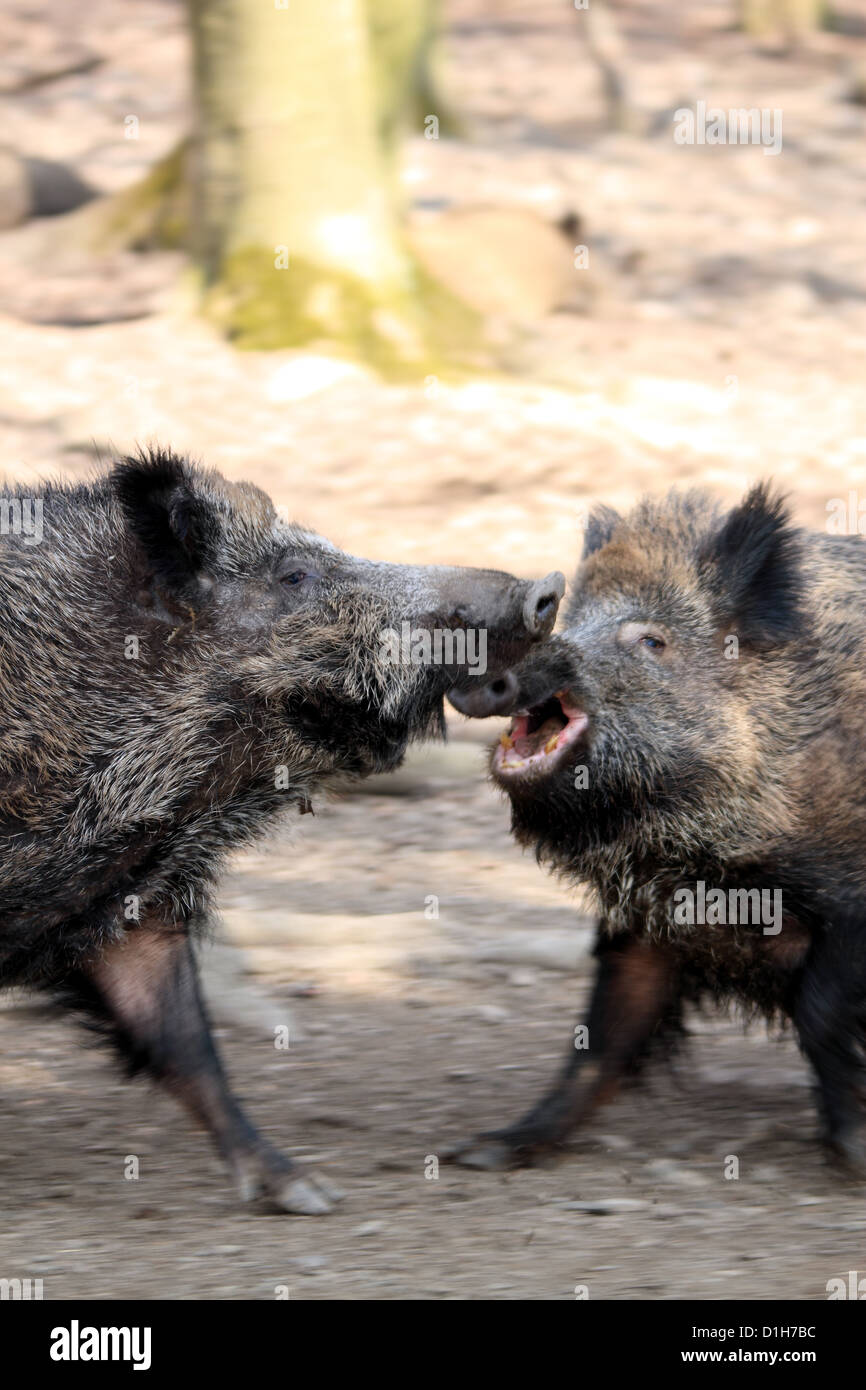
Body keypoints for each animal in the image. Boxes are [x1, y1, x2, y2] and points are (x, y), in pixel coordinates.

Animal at [448, 484, 866, 1175]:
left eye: (651, 641)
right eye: (571, 622)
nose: (488, 670)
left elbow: (822, 1010)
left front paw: (853, 1152)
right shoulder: (645, 923)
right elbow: (603, 1033)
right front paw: (486, 1151)